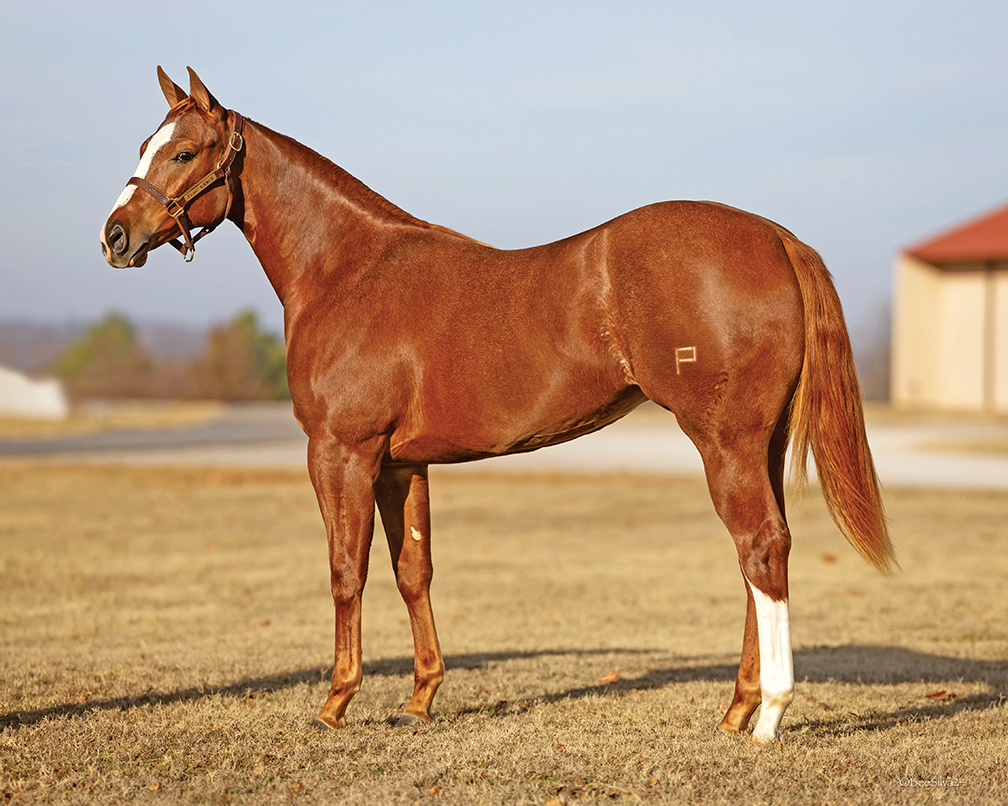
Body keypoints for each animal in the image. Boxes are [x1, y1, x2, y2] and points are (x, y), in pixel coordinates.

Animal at [100, 67, 892, 742]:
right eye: (143, 147)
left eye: (186, 151)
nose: (115, 236)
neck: (349, 269)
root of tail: (777, 238)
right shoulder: (401, 465)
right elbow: (412, 571)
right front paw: (420, 699)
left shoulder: (341, 452)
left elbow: (345, 571)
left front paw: (335, 702)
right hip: (758, 445)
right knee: (764, 556)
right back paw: (737, 710)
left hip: (725, 442)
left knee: (759, 547)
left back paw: (768, 716)